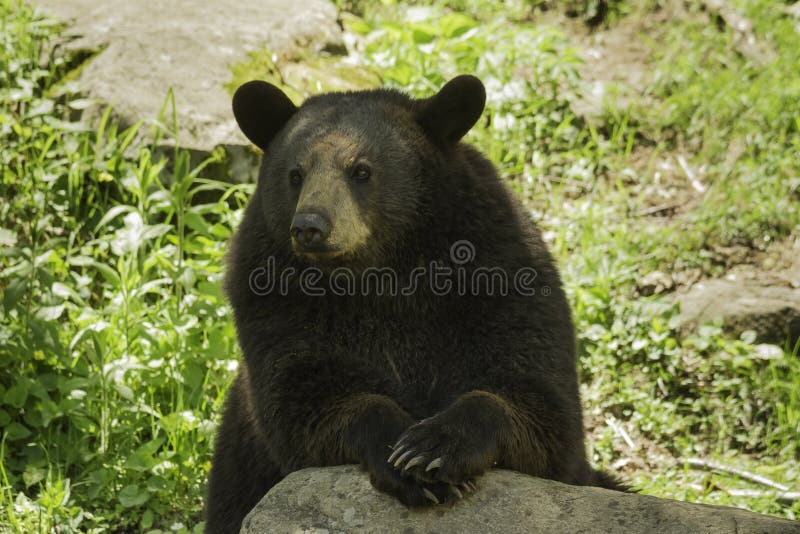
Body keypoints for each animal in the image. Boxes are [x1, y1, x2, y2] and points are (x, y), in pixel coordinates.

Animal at [205, 75, 625, 533]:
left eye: (361, 170)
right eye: (295, 174)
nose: (310, 226)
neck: (382, 277)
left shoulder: (503, 280)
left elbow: (543, 406)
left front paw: (433, 447)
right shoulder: (275, 305)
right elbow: (301, 400)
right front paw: (402, 458)